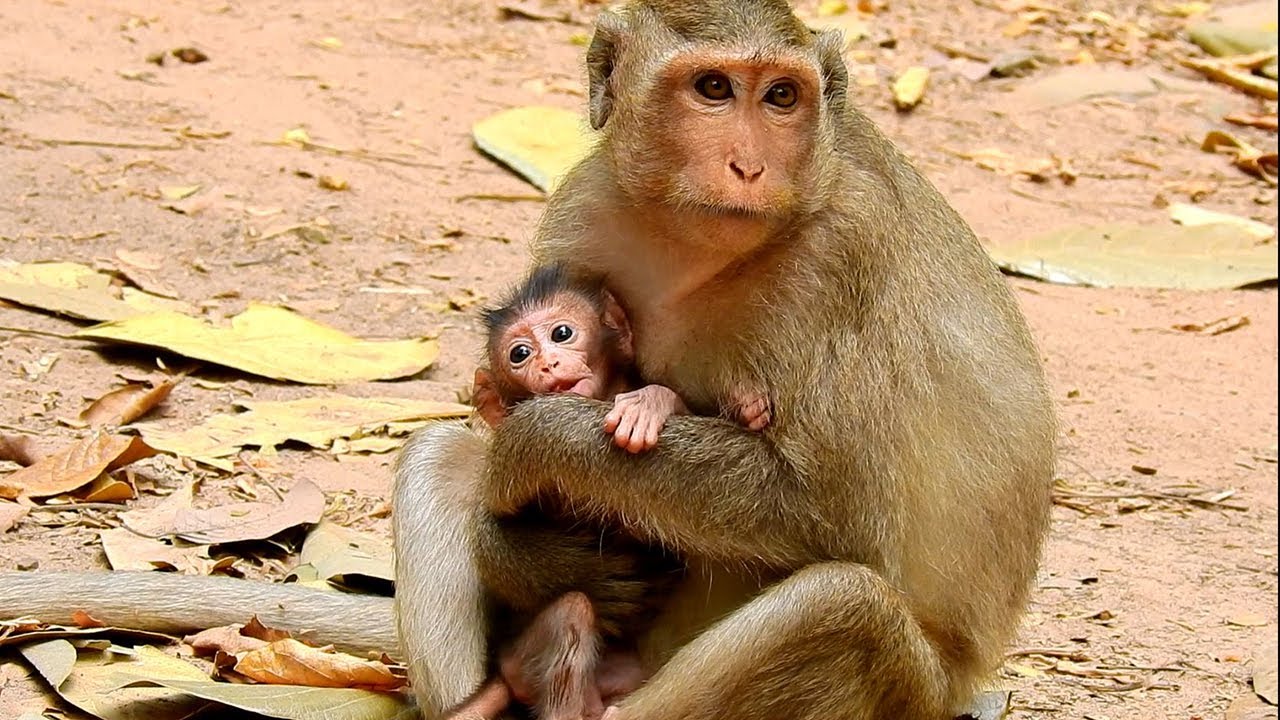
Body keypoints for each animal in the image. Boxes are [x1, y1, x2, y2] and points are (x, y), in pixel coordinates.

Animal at [0, 2, 1056, 720]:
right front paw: (530, 551)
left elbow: (834, 511)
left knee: (844, 607)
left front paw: (546, 443)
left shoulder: (845, 257)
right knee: (436, 458)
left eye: (783, 95)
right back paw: (480, 698)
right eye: (715, 89)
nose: (751, 164)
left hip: (903, 693)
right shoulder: (586, 200)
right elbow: (485, 428)